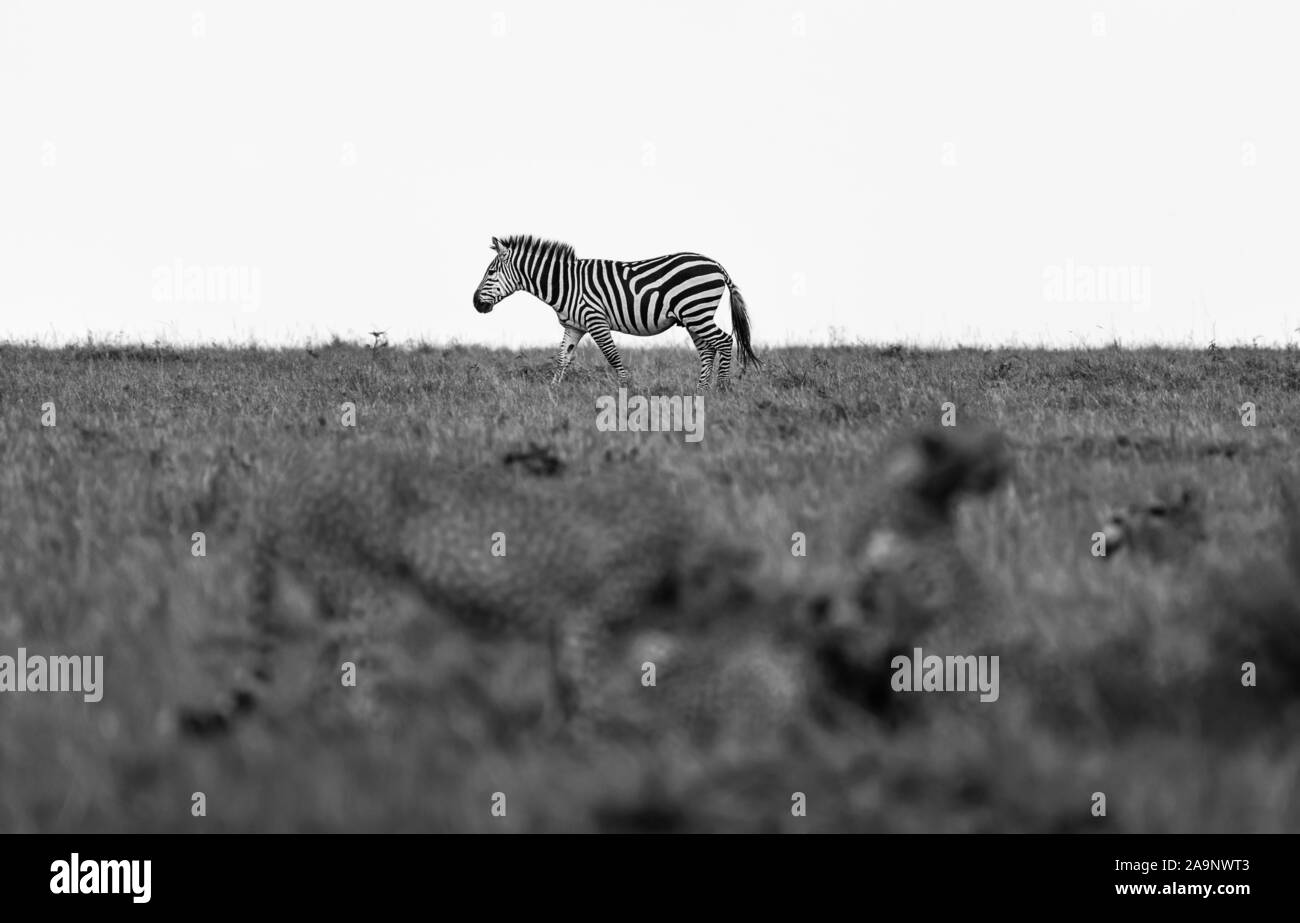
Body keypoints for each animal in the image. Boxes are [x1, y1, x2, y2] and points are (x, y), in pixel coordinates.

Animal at [472, 235, 759, 388]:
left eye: (491, 272)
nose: (475, 303)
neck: (565, 284)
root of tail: (717, 265)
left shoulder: (595, 319)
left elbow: (612, 356)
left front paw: (625, 390)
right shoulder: (574, 326)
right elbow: (562, 358)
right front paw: (551, 392)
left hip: (696, 311)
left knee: (724, 341)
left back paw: (721, 389)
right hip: (693, 317)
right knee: (708, 349)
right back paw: (701, 393)